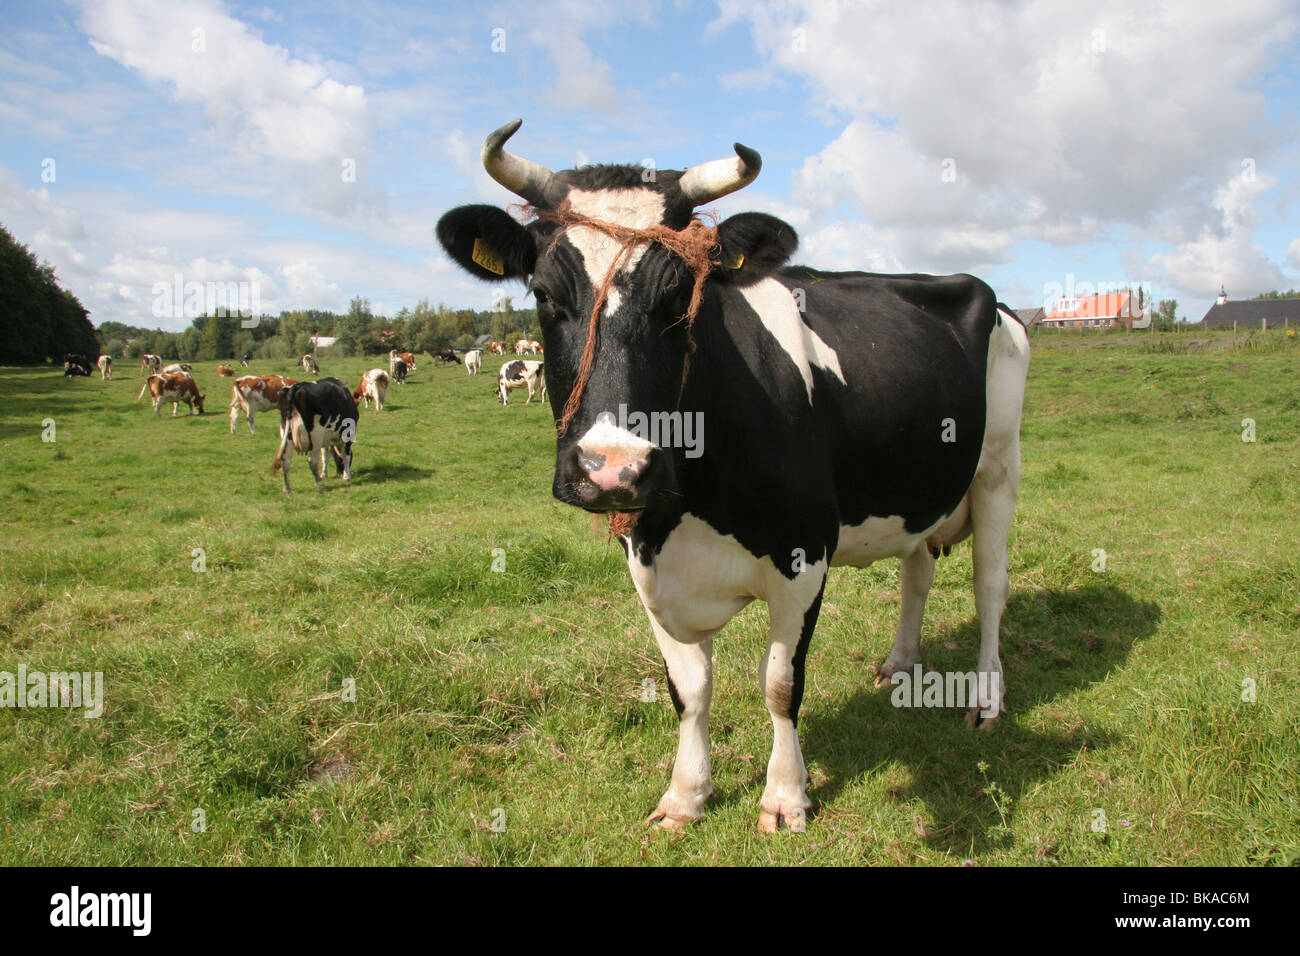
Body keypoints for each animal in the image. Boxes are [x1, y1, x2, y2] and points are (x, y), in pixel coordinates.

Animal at [435, 120, 1030, 832]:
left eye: (678, 299)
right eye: (546, 296)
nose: (612, 469)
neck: (691, 507)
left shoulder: (805, 554)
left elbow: (780, 685)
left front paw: (785, 796)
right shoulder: (646, 560)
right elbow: (689, 690)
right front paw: (686, 795)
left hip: (998, 467)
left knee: (990, 586)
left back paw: (988, 698)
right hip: (918, 488)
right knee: (917, 571)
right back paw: (898, 665)